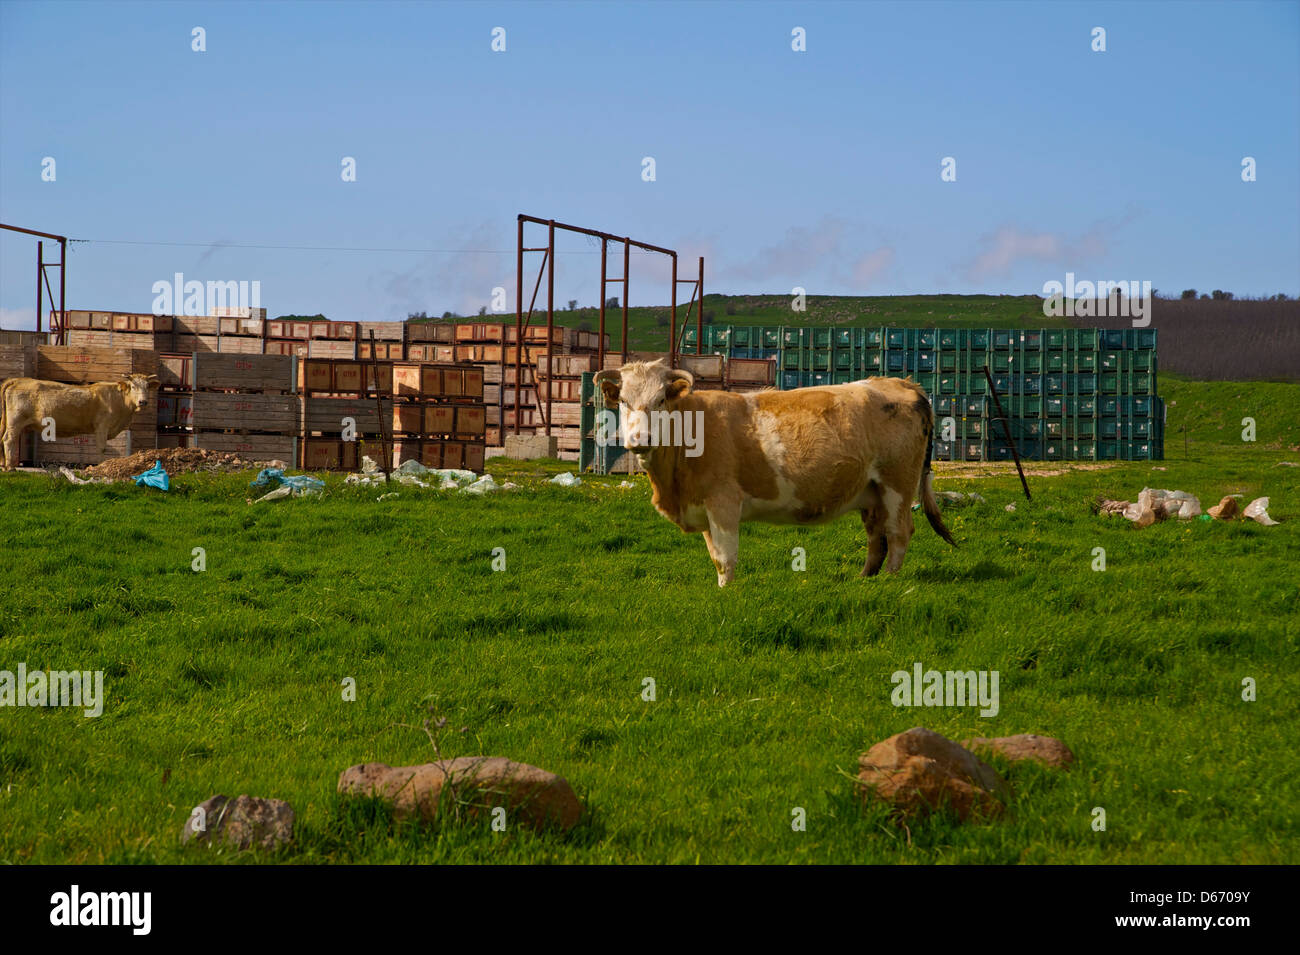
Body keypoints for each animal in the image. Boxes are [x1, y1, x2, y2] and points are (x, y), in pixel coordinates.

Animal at [1, 373, 159, 470]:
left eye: (147, 387)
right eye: (133, 386)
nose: (143, 401)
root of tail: (18, 380)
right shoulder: (102, 426)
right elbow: (101, 448)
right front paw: (101, 467)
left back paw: (3, 465)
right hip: (16, 421)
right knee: (9, 439)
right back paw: (10, 467)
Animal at [593, 359, 954, 586]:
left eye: (660, 400)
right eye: (623, 401)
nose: (640, 439)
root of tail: (902, 383)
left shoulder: (723, 501)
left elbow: (726, 557)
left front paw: (727, 593)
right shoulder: (702, 506)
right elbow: (715, 556)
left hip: (898, 484)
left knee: (899, 533)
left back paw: (889, 583)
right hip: (872, 491)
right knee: (876, 538)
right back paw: (864, 581)